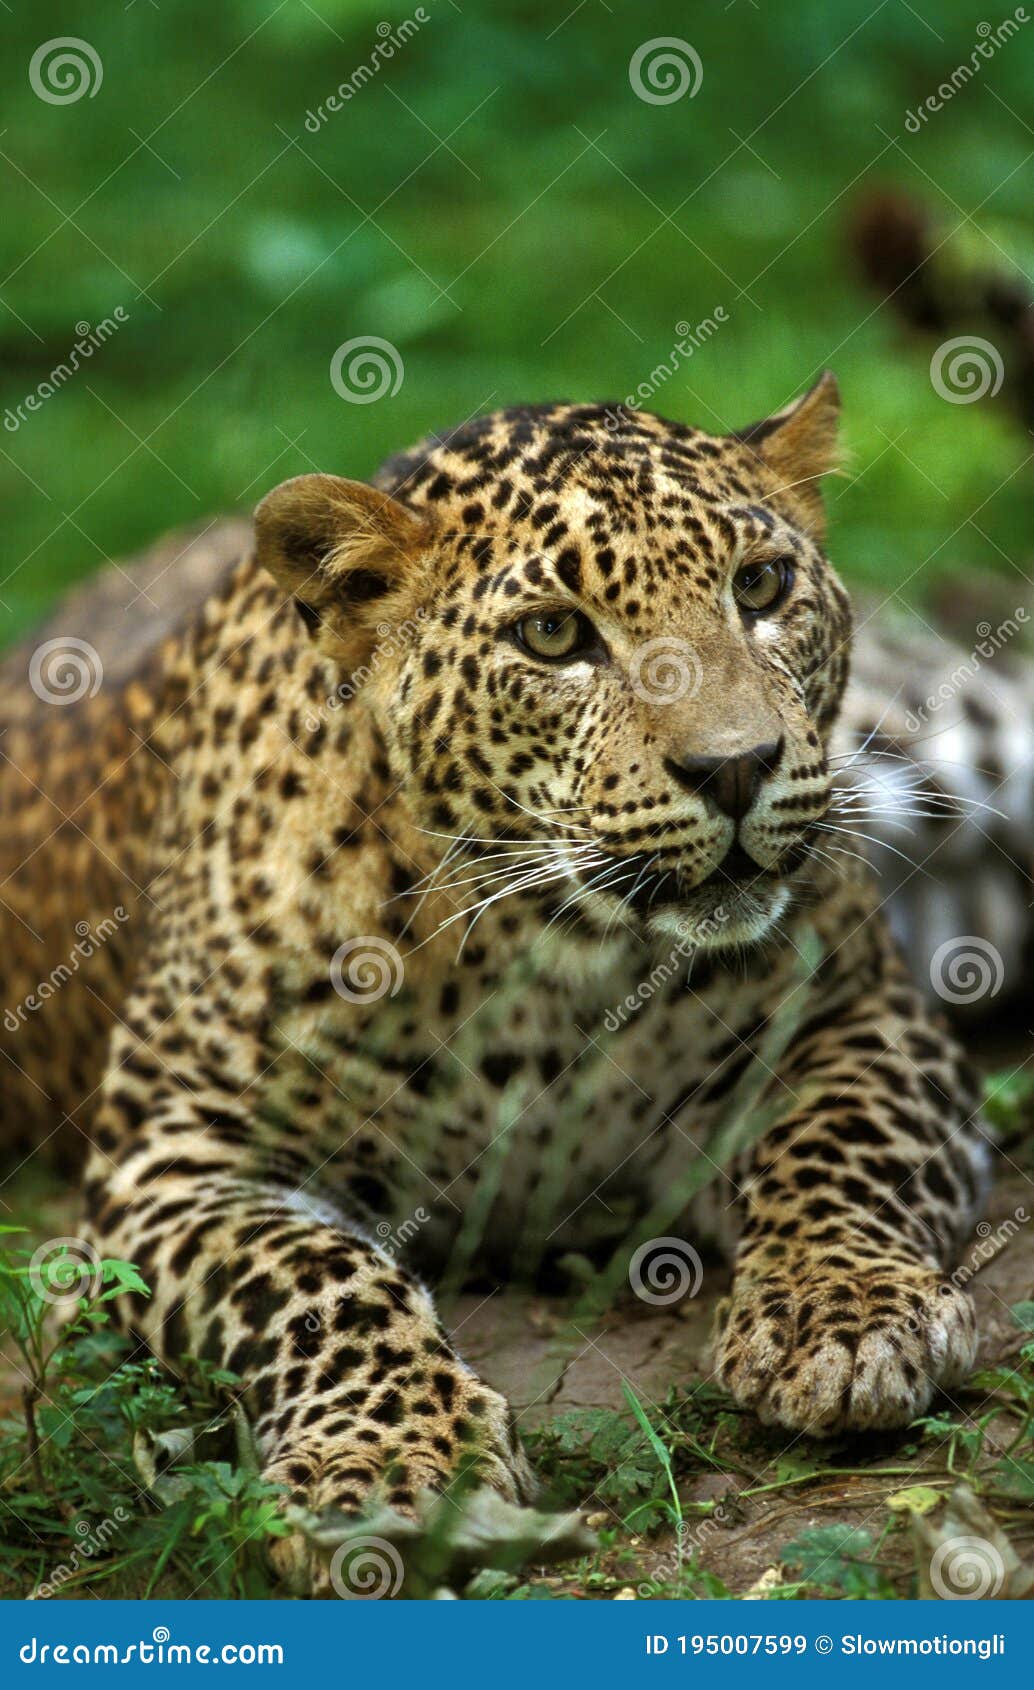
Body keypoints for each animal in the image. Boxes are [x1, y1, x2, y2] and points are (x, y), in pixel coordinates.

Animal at [0, 375, 997, 1589]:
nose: (735, 768)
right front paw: (388, 1460)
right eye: (554, 634)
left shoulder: (854, 1012)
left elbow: (836, 1146)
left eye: (759, 586)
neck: (547, 958)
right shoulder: (177, 1156)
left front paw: (842, 1313)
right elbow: (316, 1278)